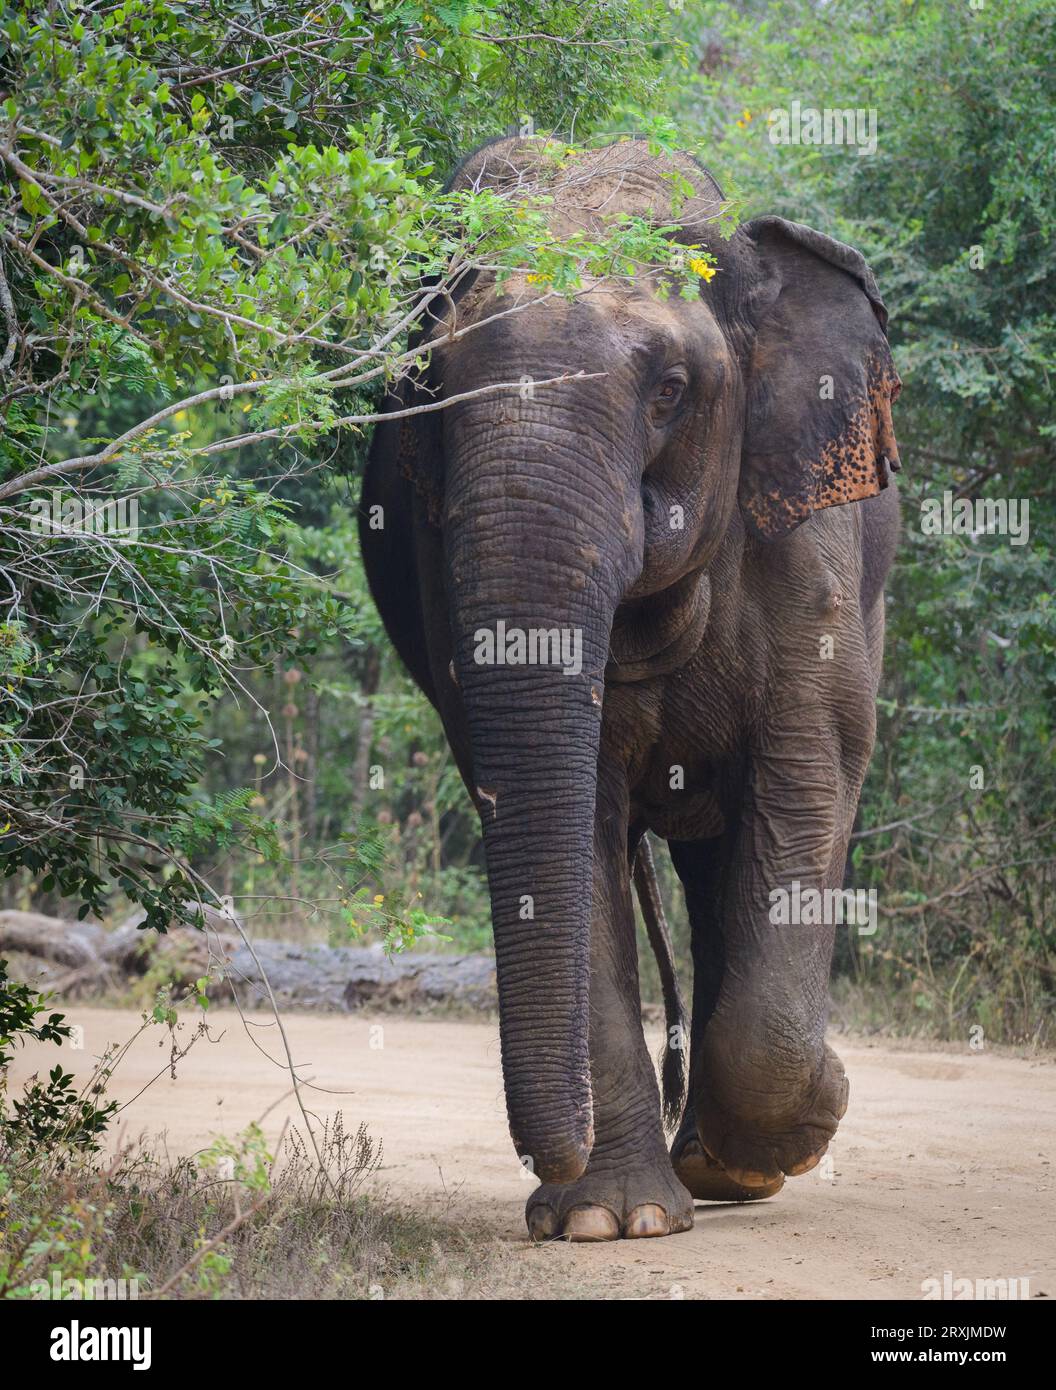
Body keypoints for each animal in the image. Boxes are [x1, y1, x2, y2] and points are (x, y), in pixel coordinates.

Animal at [359, 137, 901, 1241]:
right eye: (427, 394)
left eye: (671, 390)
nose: (548, 1156)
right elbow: (577, 818)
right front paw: (609, 1221)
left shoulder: (810, 556)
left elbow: (809, 774)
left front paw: (809, 1111)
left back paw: (727, 1164)